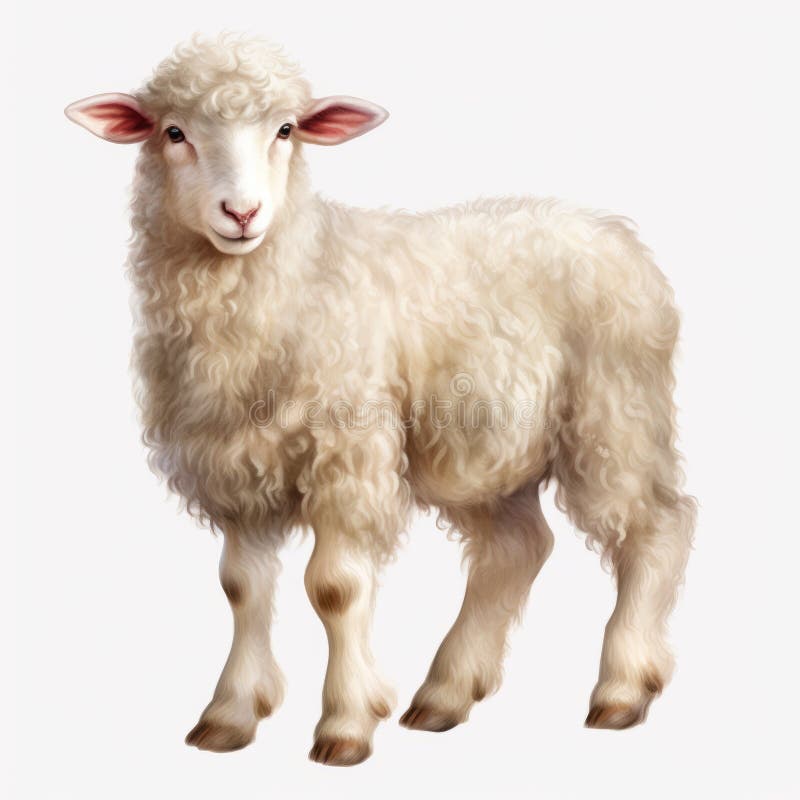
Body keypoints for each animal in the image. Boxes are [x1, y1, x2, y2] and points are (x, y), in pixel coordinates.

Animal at [65, 33, 696, 766]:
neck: (294, 278)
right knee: (517, 548)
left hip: (614, 412)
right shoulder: (239, 469)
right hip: (485, 449)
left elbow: (335, 589)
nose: (242, 214)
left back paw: (621, 688)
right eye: (174, 133)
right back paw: (446, 693)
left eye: (286, 130)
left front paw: (344, 724)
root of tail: (611, 229)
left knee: (656, 527)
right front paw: (229, 715)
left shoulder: (349, 452)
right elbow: (242, 588)